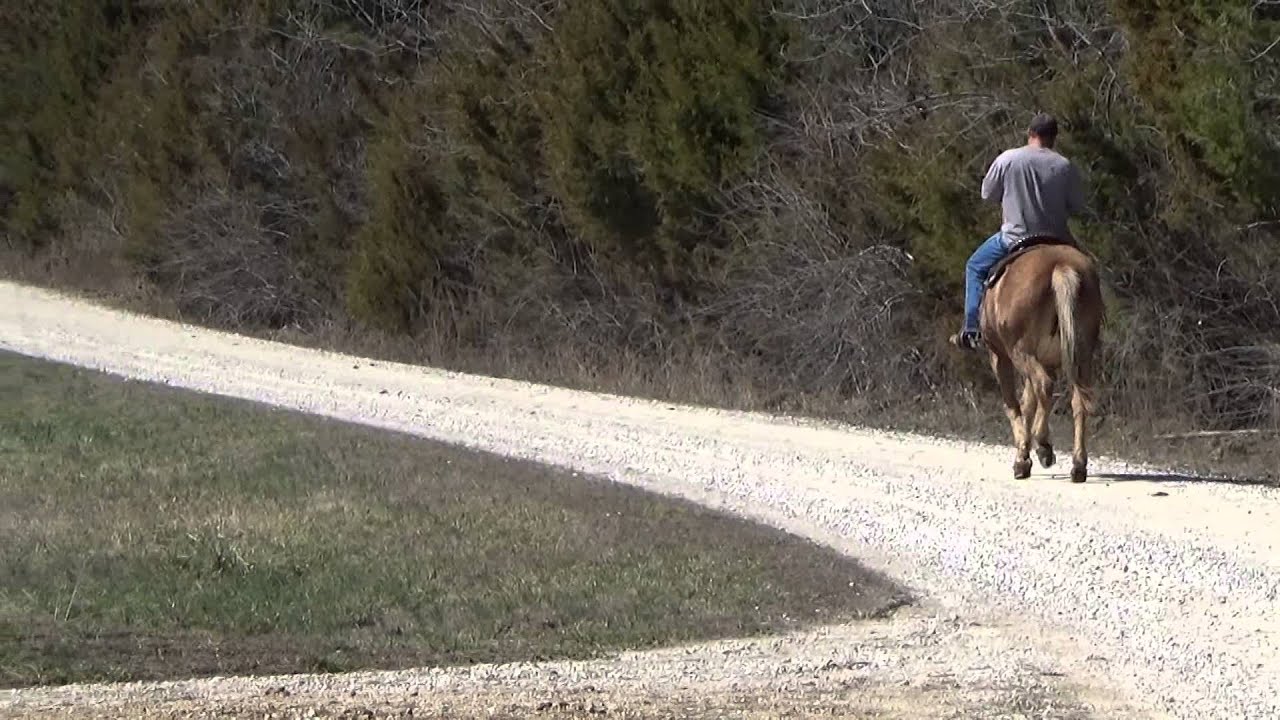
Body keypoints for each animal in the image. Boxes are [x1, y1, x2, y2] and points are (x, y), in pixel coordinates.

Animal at [978, 238, 1105, 483]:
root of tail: (1062, 267)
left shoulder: (999, 356)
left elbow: (1014, 404)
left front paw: (1022, 460)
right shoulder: (1048, 361)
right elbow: (1029, 402)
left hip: (1021, 353)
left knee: (1044, 386)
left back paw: (1044, 446)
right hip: (1081, 355)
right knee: (1078, 400)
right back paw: (1078, 466)